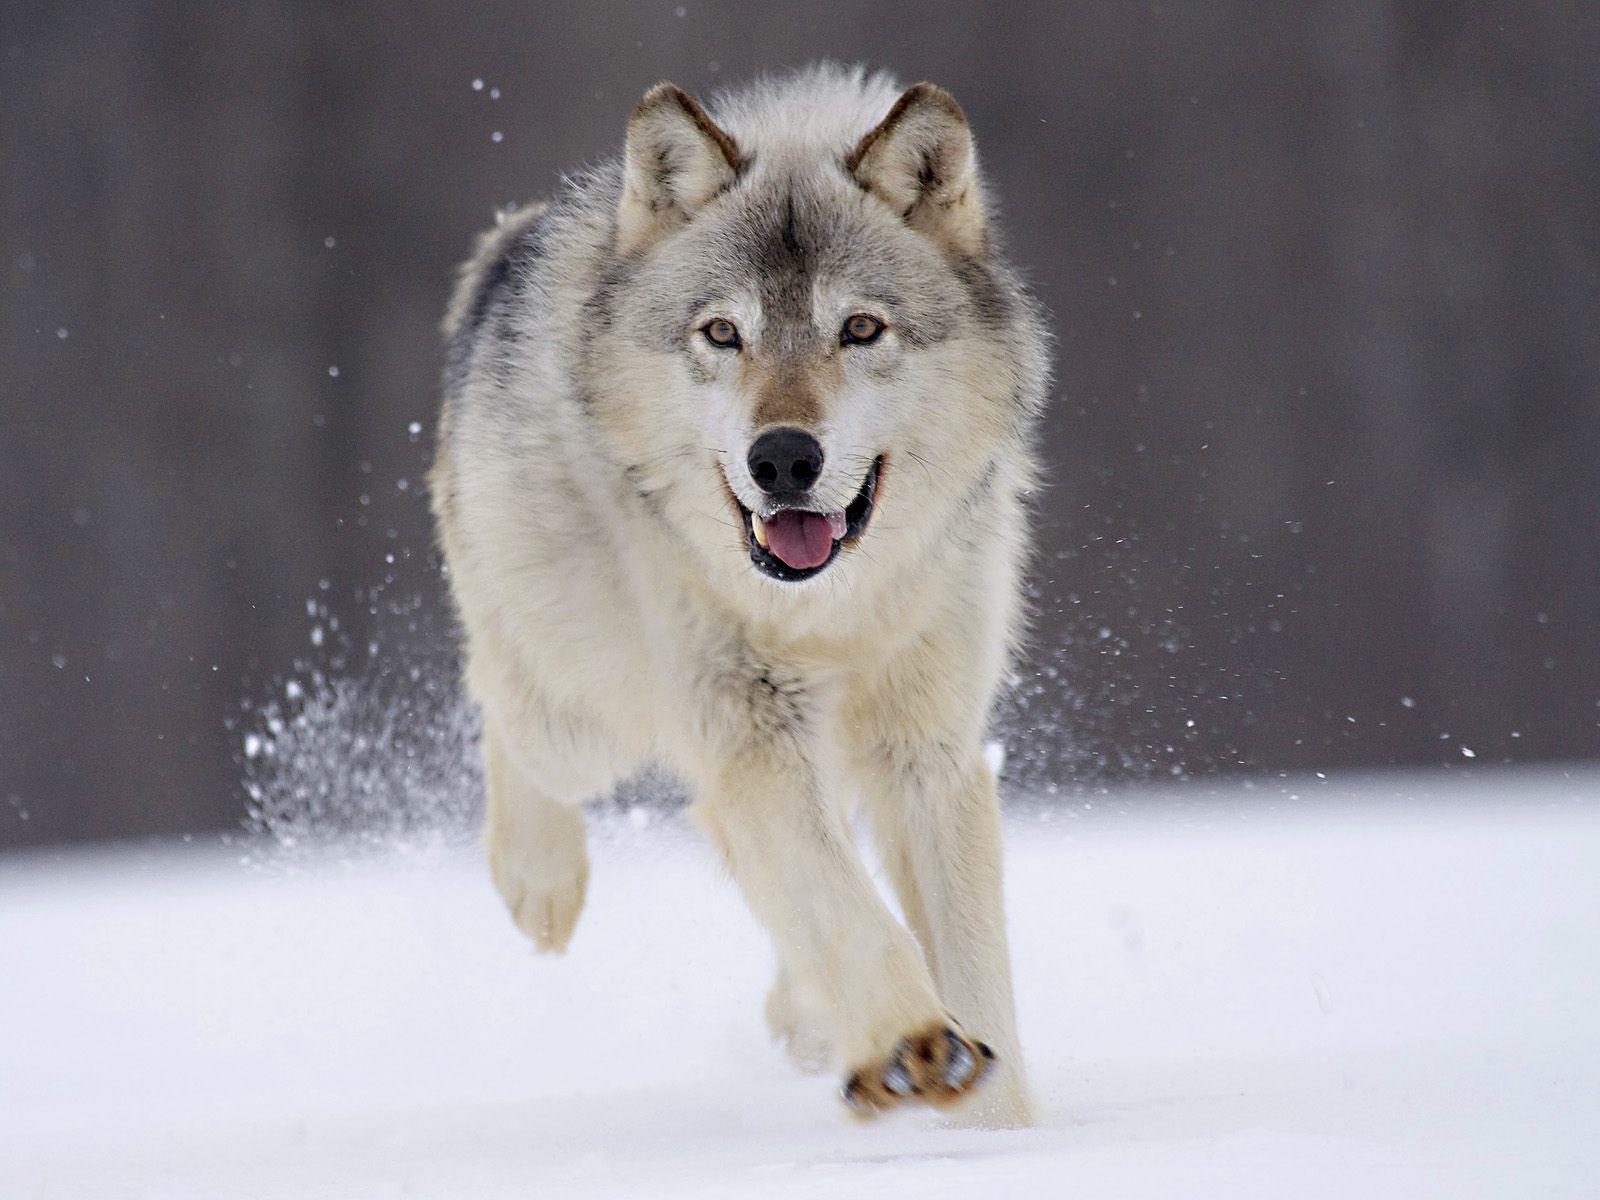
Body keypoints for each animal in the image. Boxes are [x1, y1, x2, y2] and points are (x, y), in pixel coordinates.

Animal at [429, 64, 1049, 1127]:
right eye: (723, 332)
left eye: (860, 329)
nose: (784, 458)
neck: (829, 614)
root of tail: (509, 243)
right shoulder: (750, 732)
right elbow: (848, 911)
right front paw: (913, 1043)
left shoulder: (928, 752)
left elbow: (970, 968)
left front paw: (997, 1123)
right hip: (583, 712)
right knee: (503, 706)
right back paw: (539, 883)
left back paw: (806, 1019)